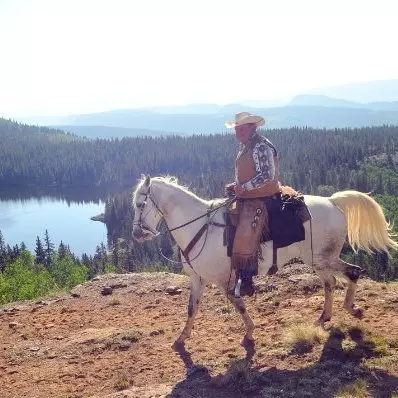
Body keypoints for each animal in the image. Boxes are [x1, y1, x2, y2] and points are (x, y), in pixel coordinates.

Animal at [131, 175, 398, 346]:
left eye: (139, 204)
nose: (137, 234)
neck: (200, 227)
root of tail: (333, 202)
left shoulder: (225, 280)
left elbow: (238, 304)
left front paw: (249, 333)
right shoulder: (198, 279)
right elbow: (191, 308)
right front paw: (181, 338)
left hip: (324, 258)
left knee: (353, 272)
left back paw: (353, 309)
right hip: (317, 259)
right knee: (330, 283)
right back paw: (324, 317)